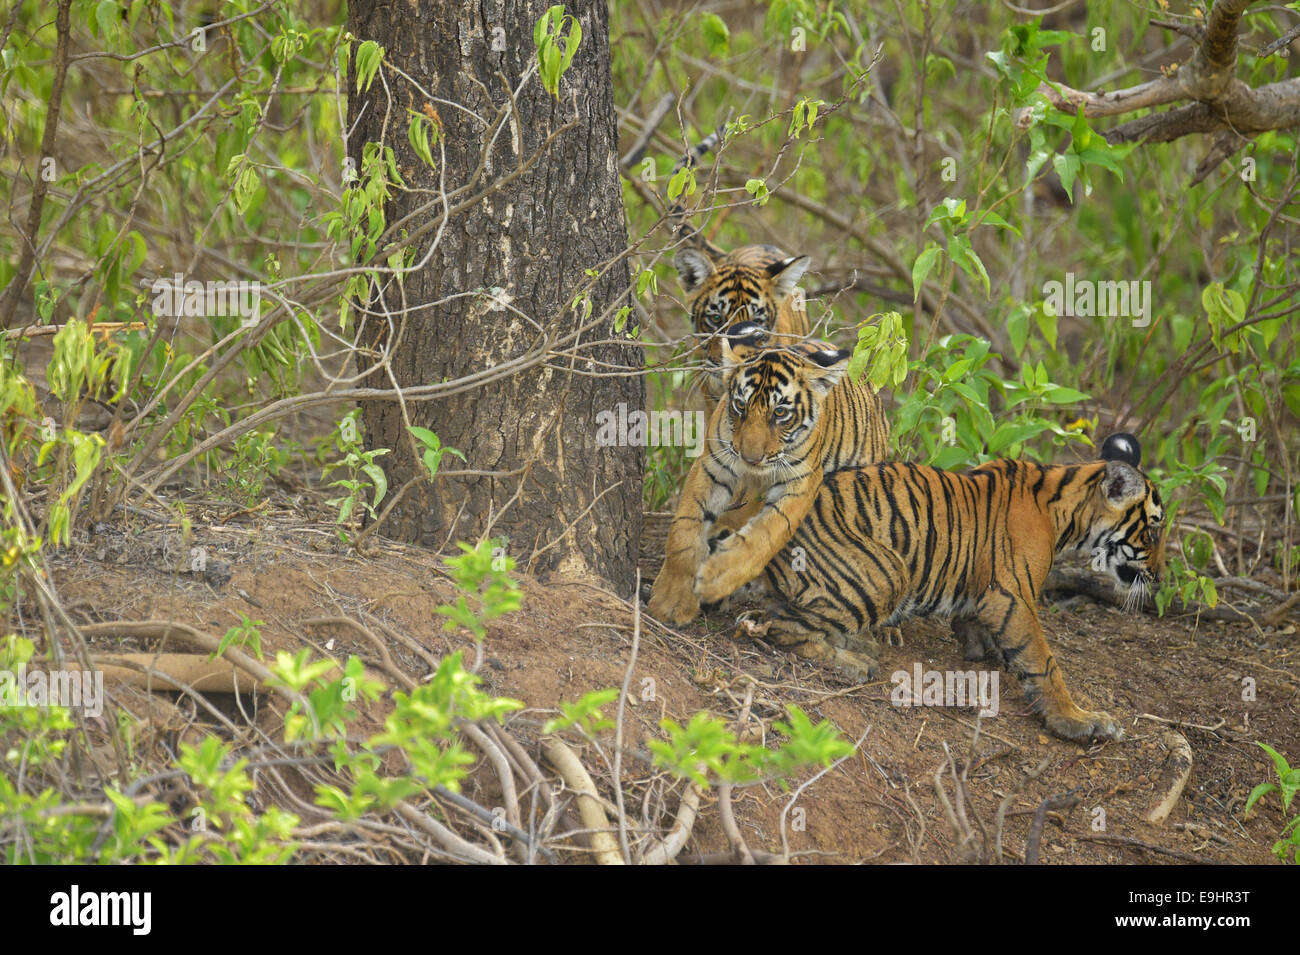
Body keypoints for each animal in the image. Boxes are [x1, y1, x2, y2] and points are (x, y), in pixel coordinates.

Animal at [647, 321, 890, 626]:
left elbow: (765, 535)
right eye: (740, 406)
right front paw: (671, 600)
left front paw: (716, 578)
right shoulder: (713, 467)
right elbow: (685, 530)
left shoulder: (799, 484)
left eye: (780, 412)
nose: (750, 457)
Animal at [722, 433, 1166, 742]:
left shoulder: (985, 593)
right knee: (782, 626)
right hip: (888, 571)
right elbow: (1044, 663)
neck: (1068, 513)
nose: (1161, 579)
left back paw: (861, 643)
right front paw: (1079, 721)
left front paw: (981, 649)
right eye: (1155, 529)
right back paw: (854, 662)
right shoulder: (1012, 595)